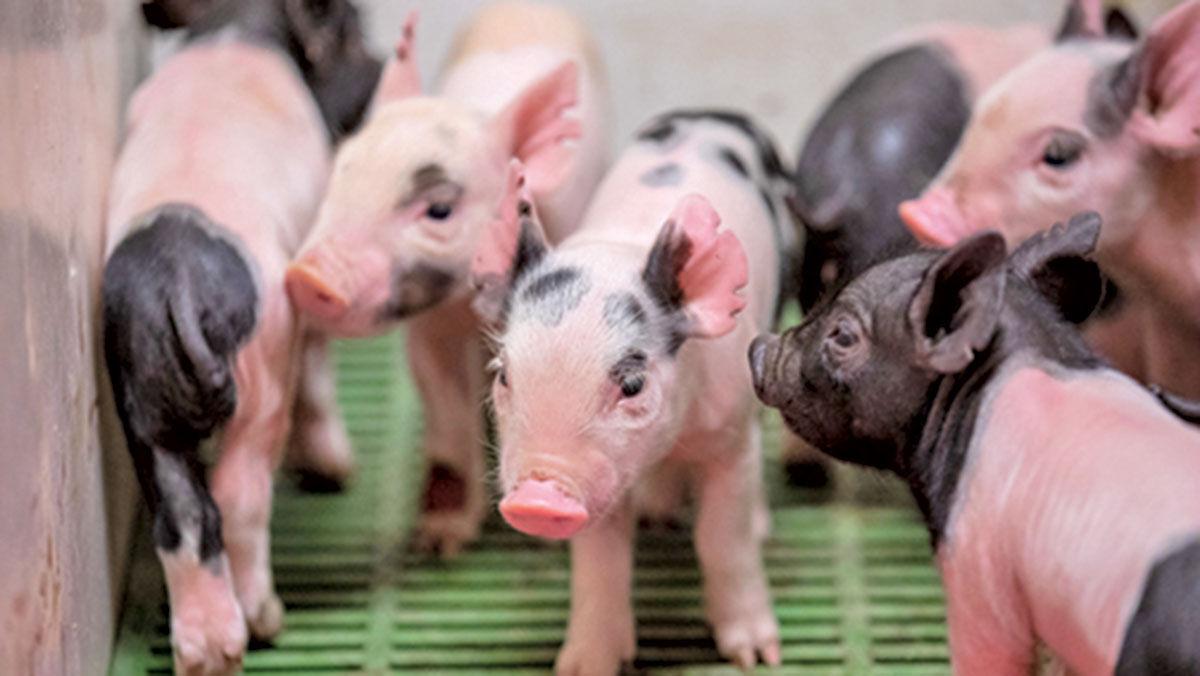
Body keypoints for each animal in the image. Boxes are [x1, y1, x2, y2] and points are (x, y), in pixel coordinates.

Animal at [101, 1, 378, 672]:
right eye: (352, 32)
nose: (382, 60)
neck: (238, 23)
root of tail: (176, 282)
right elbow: (319, 369)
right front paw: (335, 471)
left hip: (142, 398)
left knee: (182, 516)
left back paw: (208, 656)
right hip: (262, 365)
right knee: (240, 492)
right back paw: (265, 622)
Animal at [285, 3, 610, 556]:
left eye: (439, 210)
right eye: (342, 176)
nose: (308, 276)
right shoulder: (431, 328)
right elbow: (447, 416)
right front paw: (436, 544)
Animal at [472, 108, 793, 673]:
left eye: (632, 384)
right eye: (503, 373)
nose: (537, 496)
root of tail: (718, 112)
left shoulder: (729, 433)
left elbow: (721, 539)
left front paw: (756, 656)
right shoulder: (599, 484)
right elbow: (601, 562)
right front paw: (583, 666)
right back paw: (656, 516)